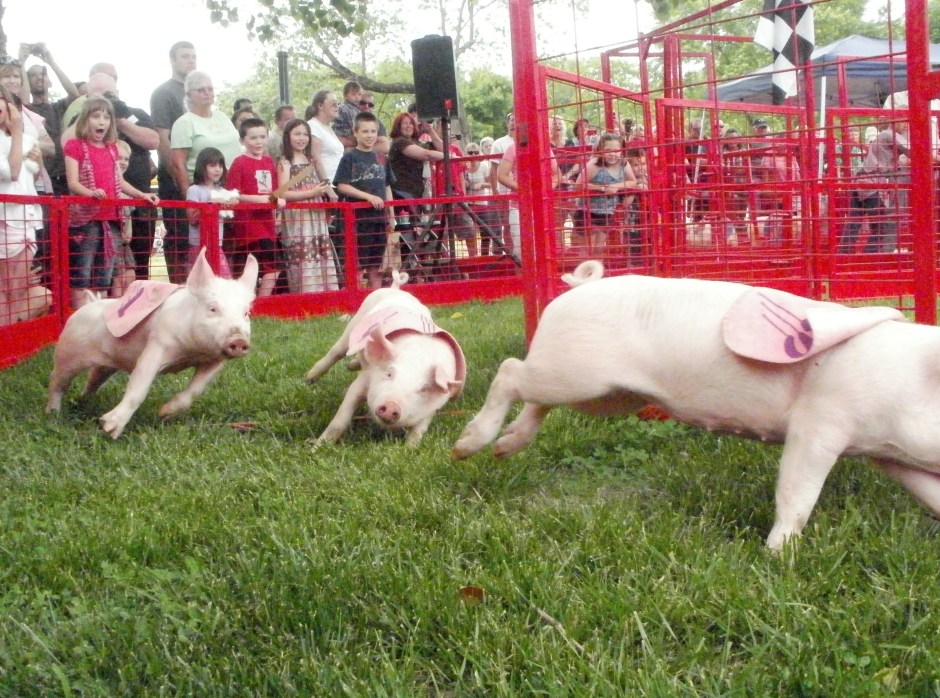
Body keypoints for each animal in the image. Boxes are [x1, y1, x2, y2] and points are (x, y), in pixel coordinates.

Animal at [46, 248, 258, 439]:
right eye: (212, 308)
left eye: (246, 313)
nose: (239, 340)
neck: (190, 352)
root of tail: (86, 305)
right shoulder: (157, 344)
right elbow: (139, 386)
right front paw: (108, 428)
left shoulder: (214, 361)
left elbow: (195, 390)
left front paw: (163, 413)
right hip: (68, 353)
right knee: (57, 382)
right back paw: (53, 413)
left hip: (105, 365)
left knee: (92, 379)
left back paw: (82, 401)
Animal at [305, 271, 465, 446]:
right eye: (389, 373)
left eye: (423, 388)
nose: (391, 406)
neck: (418, 355)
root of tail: (395, 288)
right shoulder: (366, 378)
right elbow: (341, 418)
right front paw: (317, 447)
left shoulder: (435, 406)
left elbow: (419, 430)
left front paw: (410, 447)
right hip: (353, 325)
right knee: (336, 352)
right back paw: (309, 379)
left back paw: (350, 366)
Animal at [453, 260, 940, 550]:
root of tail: (580, 288)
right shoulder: (819, 422)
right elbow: (798, 493)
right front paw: (778, 557)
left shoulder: (890, 454)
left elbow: (930, 493)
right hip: (575, 372)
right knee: (511, 372)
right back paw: (466, 447)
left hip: (609, 395)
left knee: (536, 400)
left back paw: (506, 448)